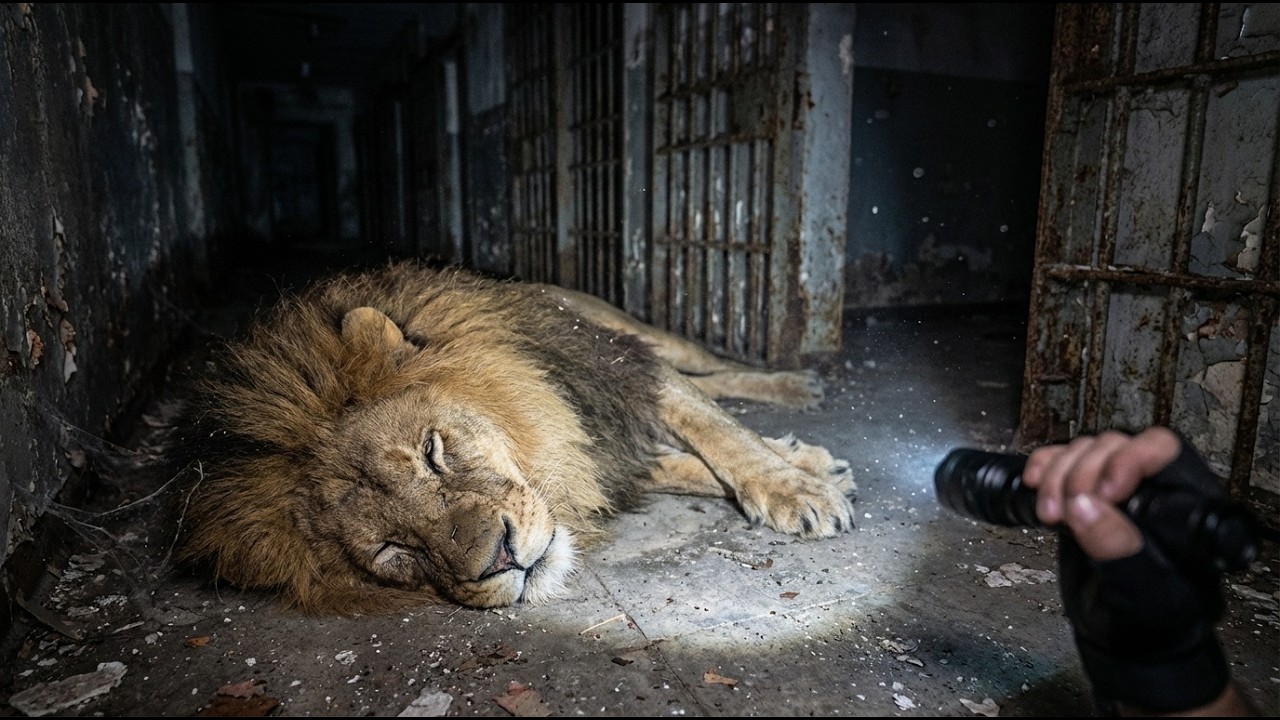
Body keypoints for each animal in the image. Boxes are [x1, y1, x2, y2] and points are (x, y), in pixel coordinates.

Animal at [178, 261, 856, 615]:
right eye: (393, 551)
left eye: (432, 453)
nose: (500, 557)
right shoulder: (603, 455)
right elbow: (684, 463)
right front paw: (803, 470)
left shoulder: (618, 371)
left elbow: (717, 429)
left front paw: (796, 490)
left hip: (628, 332)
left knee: (708, 368)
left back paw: (796, 386)